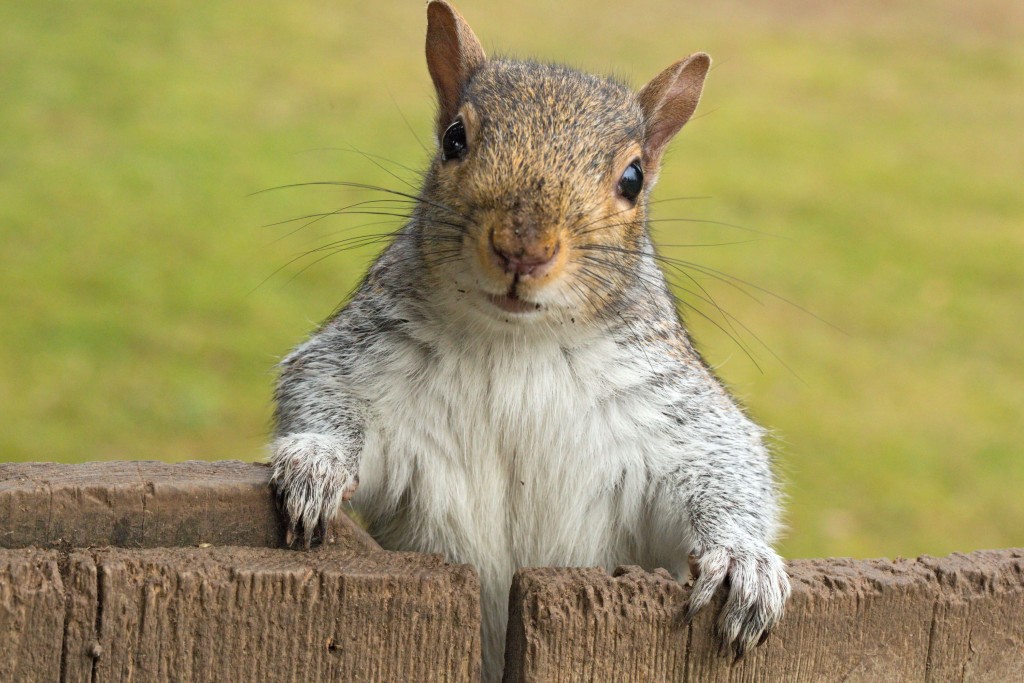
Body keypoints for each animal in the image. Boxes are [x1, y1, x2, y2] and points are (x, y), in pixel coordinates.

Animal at [270, 2, 791, 679]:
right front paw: (316, 466)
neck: (517, 343)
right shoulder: (361, 360)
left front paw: (741, 560)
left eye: (633, 177)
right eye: (454, 139)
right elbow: (319, 388)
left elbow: (722, 456)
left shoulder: (666, 405)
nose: (523, 247)